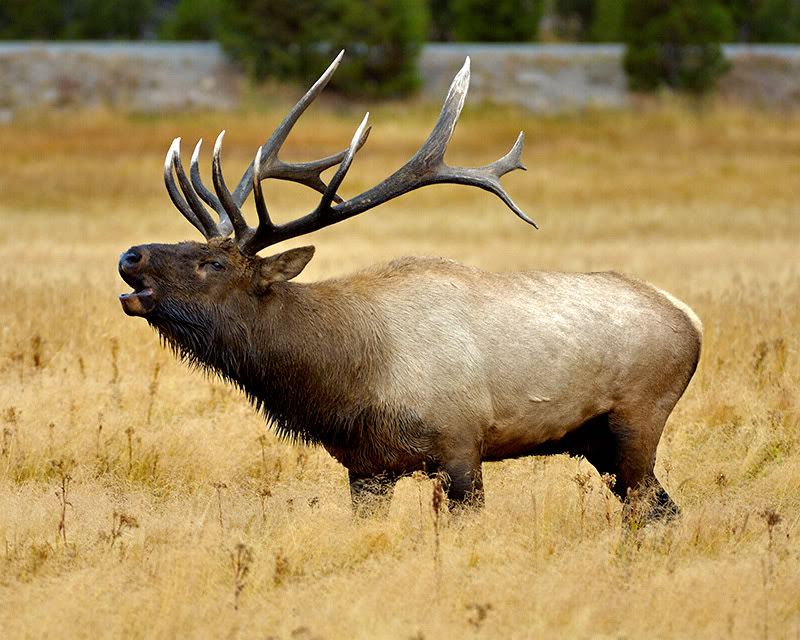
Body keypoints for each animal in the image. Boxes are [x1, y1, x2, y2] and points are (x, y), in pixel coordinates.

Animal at [119, 50, 700, 520]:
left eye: (213, 263)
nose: (131, 255)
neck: (346, 382)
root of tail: (692, 320)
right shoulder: (365, 468)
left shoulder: (461, 444)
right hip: (596, 440)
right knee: (662, 510)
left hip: (639, 417)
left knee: (650, 508)